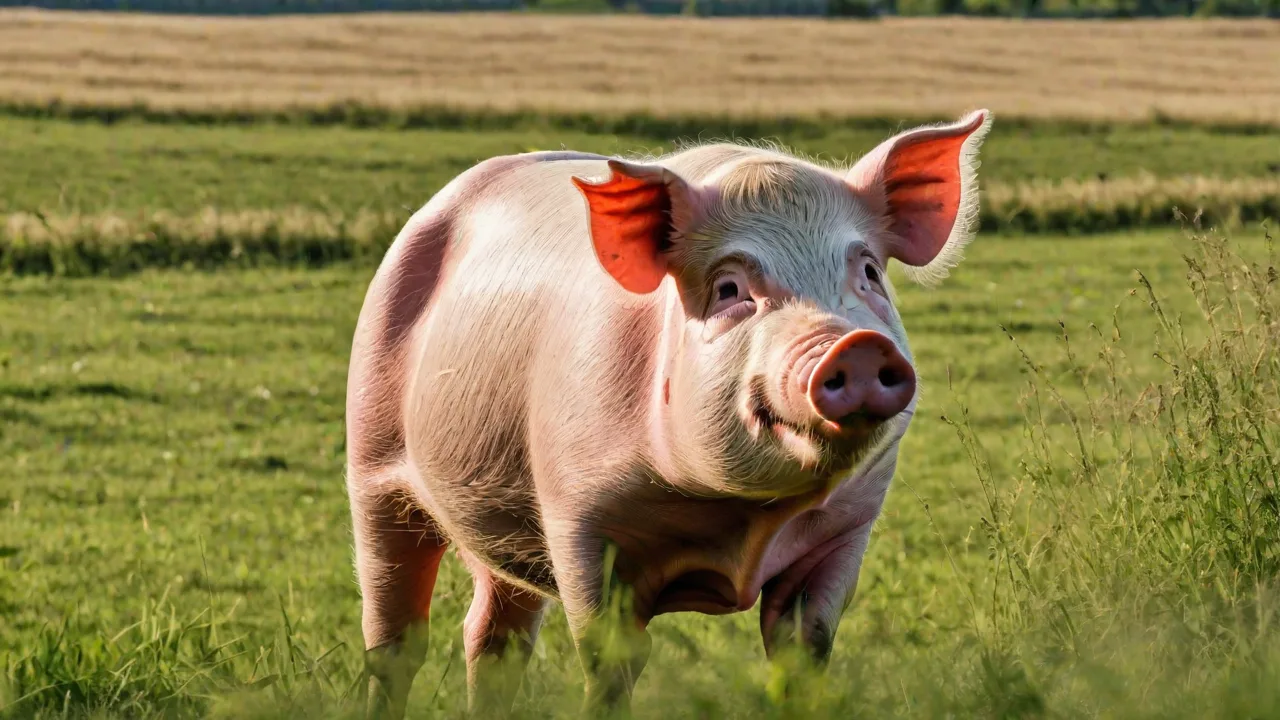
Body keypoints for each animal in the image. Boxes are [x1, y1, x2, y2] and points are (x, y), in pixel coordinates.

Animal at [344, 109, 993, 717]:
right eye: (729, 288)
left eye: (869, 273)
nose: (854, 345)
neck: (739, 522)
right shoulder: (579, 518)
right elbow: (611, 662)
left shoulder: (847, 527)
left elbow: (804, 648)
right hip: (372, 469)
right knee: (394, 642)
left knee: (493, 640)